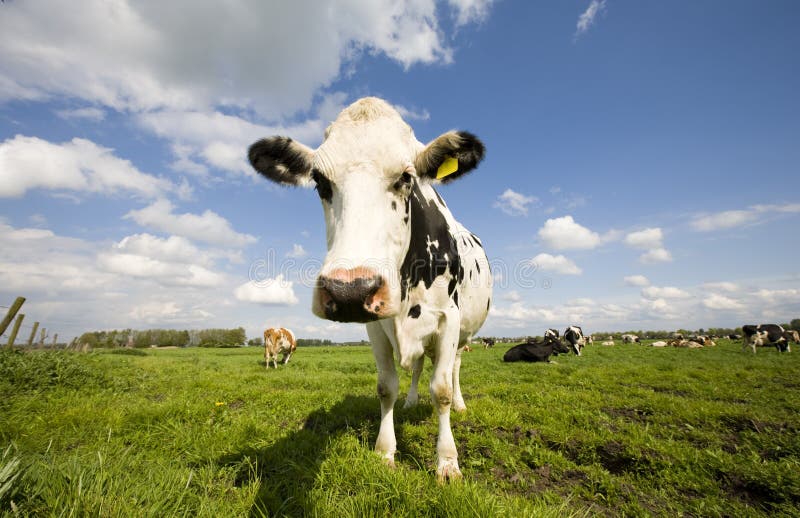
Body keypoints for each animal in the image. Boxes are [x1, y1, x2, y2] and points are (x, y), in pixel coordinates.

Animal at [248, 97, 491, 481]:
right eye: (319, 182)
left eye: (407, 178)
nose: (348, 291)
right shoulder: (374, 325)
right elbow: (385, 386)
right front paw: (384, 451)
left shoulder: (447, 319)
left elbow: (441, 390)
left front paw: (447, 461)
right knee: (418, 367)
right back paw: (411, 401)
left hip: (463, 334)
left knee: (452, 370)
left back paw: (461, 403)